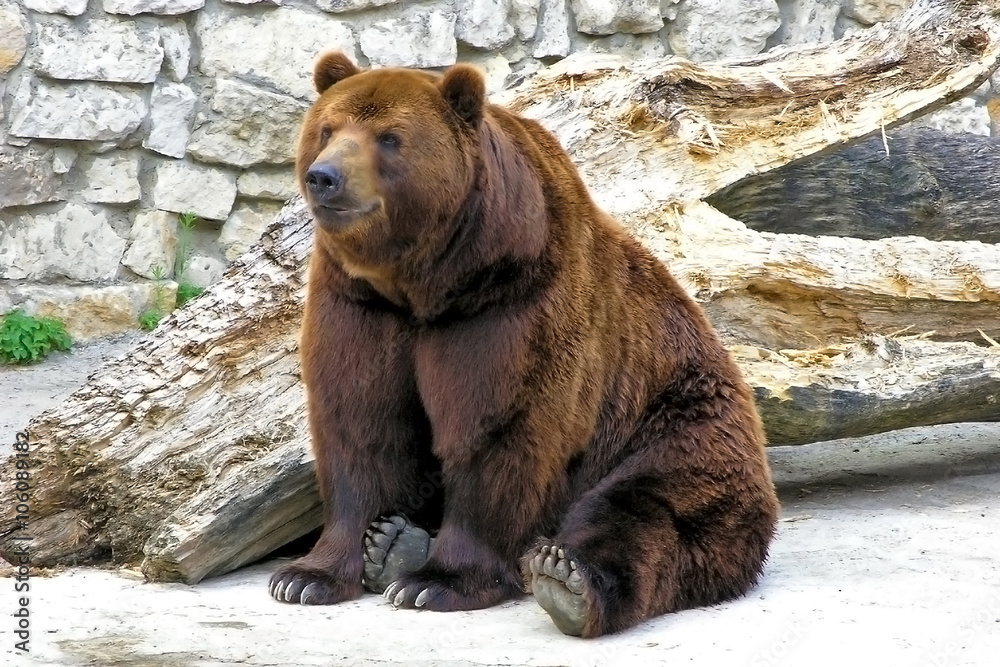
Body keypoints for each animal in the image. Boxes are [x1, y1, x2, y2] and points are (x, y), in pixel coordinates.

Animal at [267, 51, 780, 638]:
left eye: (389, 137)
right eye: (327, 129)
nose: (324, 176)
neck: (427, 281)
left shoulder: (510, 301)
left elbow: (497, 427)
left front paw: (438, 583)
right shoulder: (359, 305)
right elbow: (360, 421)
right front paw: (306, 576)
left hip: (676, 424)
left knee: (648, 509)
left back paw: (566, 580)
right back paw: (395, 543)